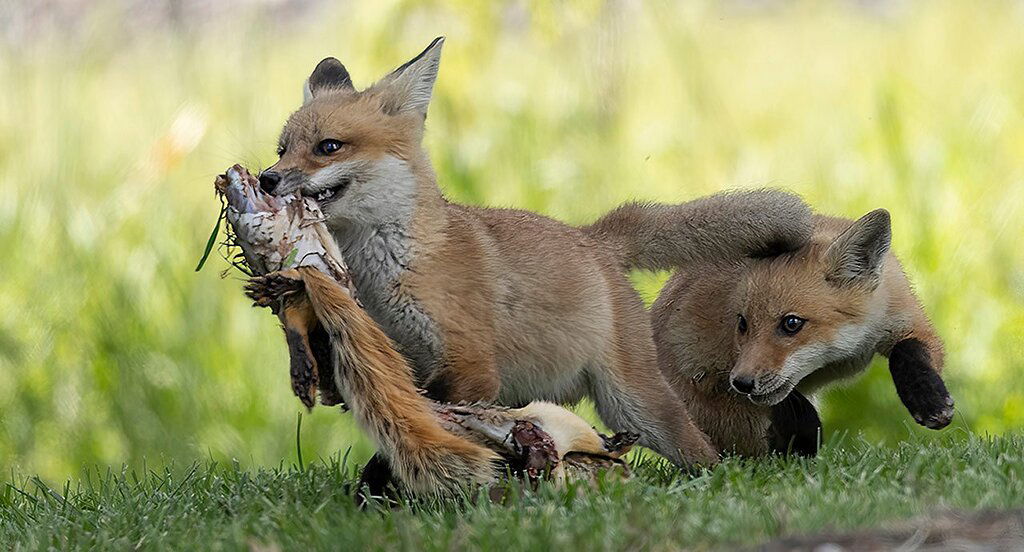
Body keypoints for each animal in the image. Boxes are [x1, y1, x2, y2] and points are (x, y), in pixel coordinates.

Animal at [257, 36, 814, 494]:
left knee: (704, 454)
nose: (265, 179)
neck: (390, 272)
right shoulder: (399, 359)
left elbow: (439, 423)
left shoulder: (471, 365)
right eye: (282, 149)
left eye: (328, 147)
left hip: (633, 401)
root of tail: (592, 236)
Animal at [650, 208, 955, 457]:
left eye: (791, 323)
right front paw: (804, 444)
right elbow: (788, 402)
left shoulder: (904, 317)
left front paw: (928, 399)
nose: (743, 383)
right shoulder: (701, 368)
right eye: (742, 324)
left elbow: (907, 352)